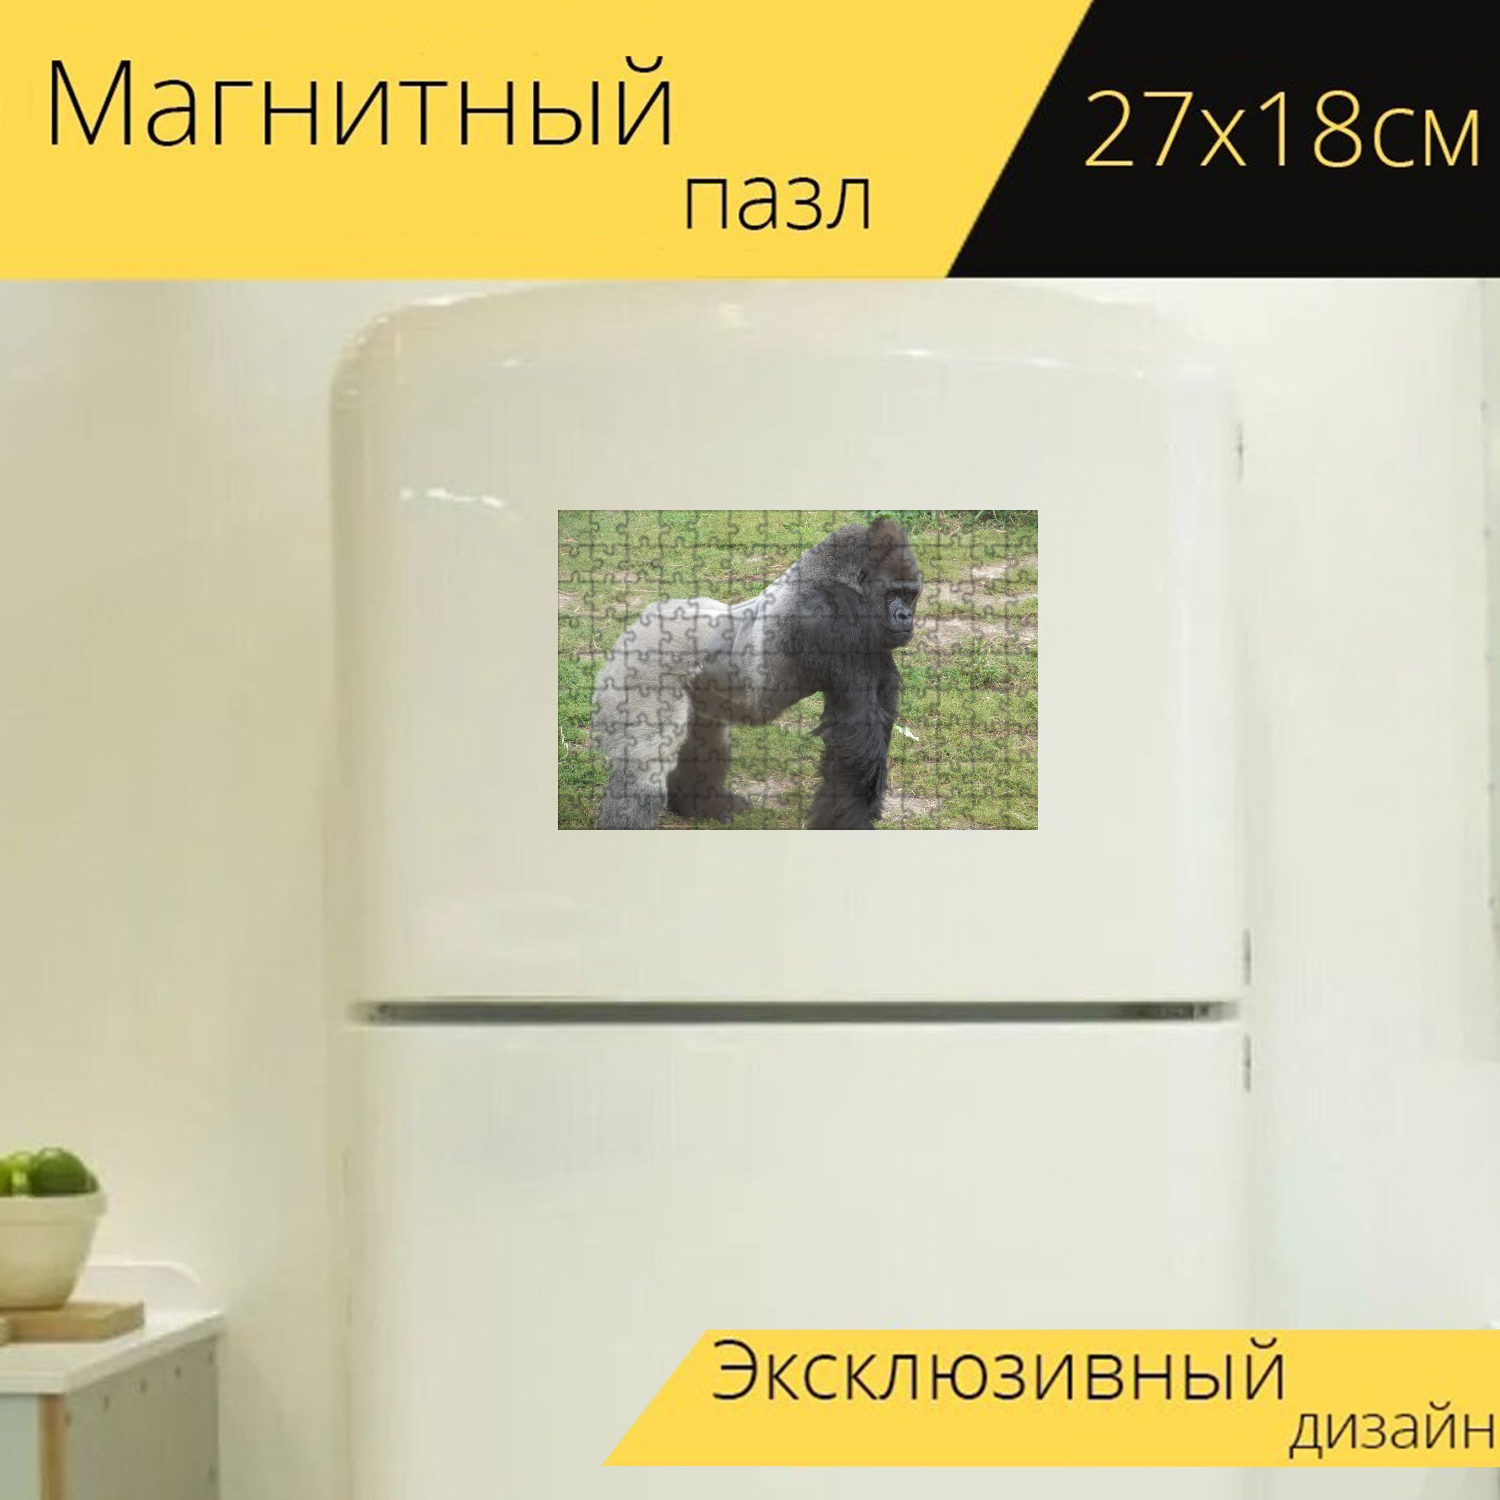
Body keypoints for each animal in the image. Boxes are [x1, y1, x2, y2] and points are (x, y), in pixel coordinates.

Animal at [591, 518, 922, 829]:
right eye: (892, 593)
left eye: (910, 595)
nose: (905, 616)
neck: (838, 576)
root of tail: (640, 623)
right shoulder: (837, 617)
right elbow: (857, 737)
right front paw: (850, 822)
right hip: (642, 666)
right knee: (643, 769)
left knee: (705, 738)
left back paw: (702, 805)